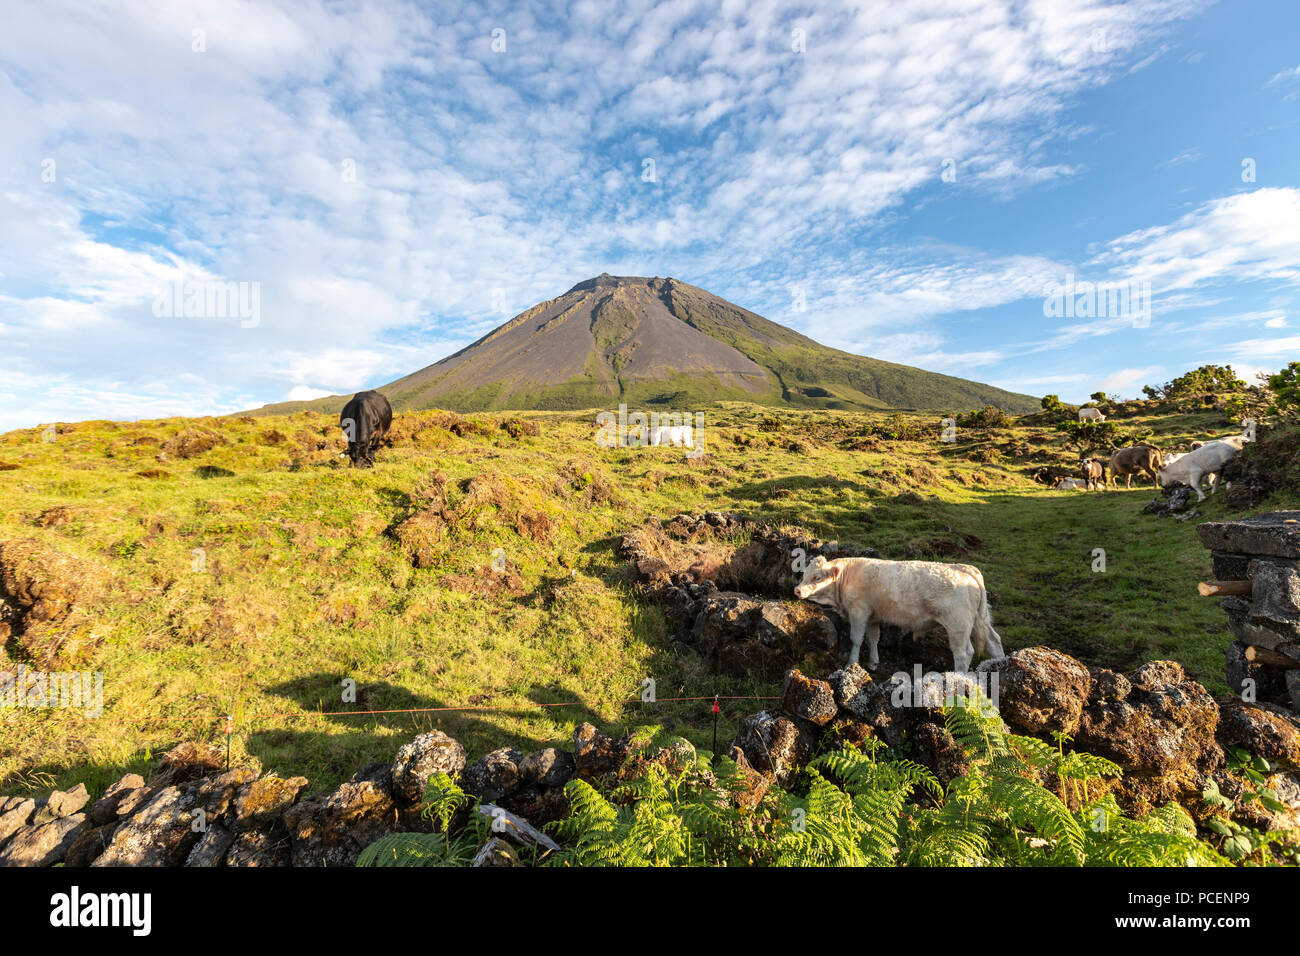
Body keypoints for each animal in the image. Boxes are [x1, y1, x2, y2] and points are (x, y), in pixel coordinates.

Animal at [793, 555, 1005, 673]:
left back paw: (960, 677)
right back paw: (1001, 664)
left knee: (963, 653)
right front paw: (873, 662)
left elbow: (856, 639)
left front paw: (851, 664)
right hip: (980, 621)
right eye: (804, 574)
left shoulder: (859, 612)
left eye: (817, 577)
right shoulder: (873, 616)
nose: (797, 590)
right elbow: (873, 638)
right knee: (994, 641)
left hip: (957, 626)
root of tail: (964, 568)